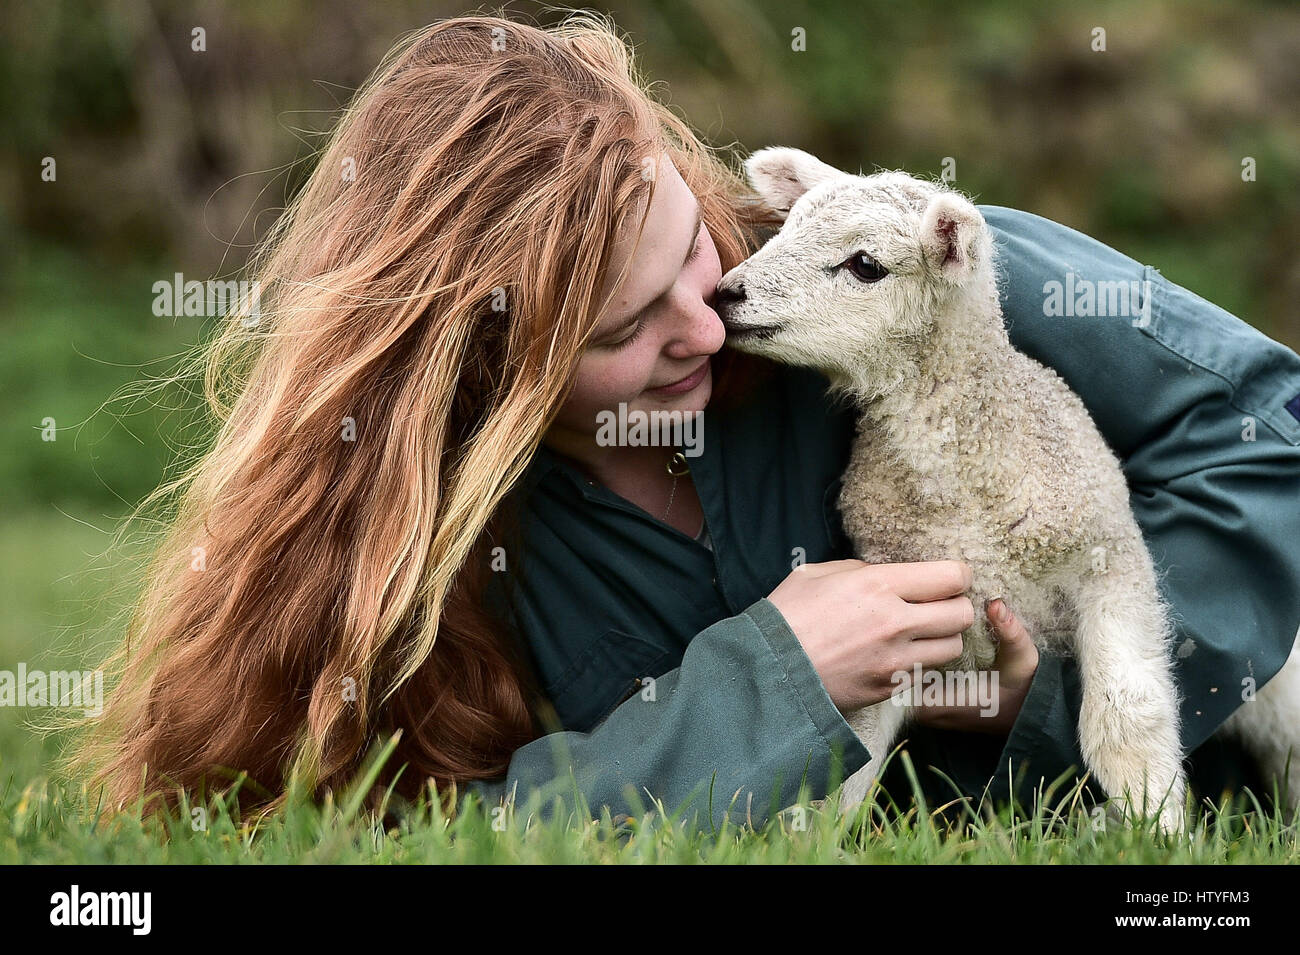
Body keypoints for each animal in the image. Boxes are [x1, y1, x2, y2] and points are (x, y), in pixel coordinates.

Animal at [716, 146, 1300, 833]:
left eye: (865, 265)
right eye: (786, 229)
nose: (727, 293)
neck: (963, 495)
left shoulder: (1110, 560)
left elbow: (1125, 716)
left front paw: (1154, 821)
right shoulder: (901, 605)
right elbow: (851, 750)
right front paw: (806, 834)